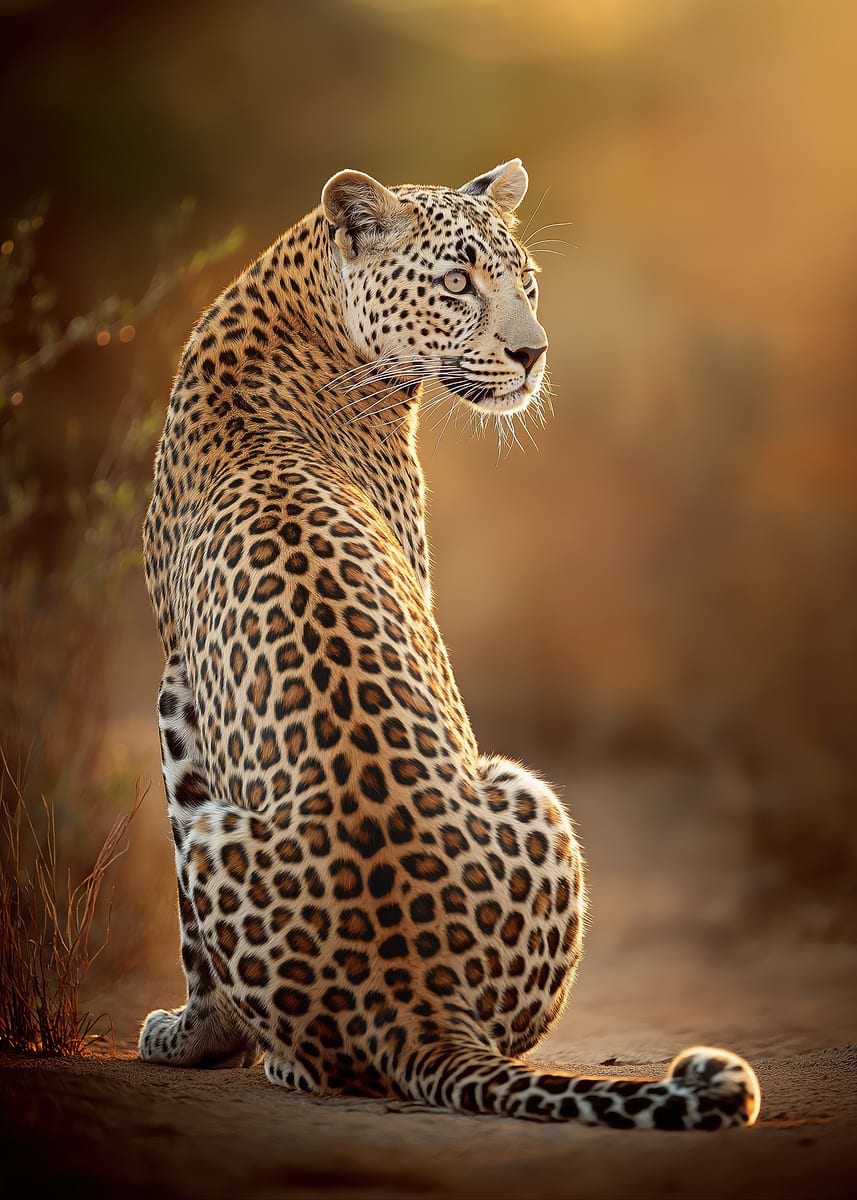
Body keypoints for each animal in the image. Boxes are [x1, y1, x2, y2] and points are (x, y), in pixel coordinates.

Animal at [139, 158, 761, 1130]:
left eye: (525, 283)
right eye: (458, 282)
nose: (533, 353)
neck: (297, 303)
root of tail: (416, 997)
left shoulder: (175, 689)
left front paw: (192, 1040)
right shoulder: (177, 691)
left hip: (500, 791)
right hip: (526, 793)